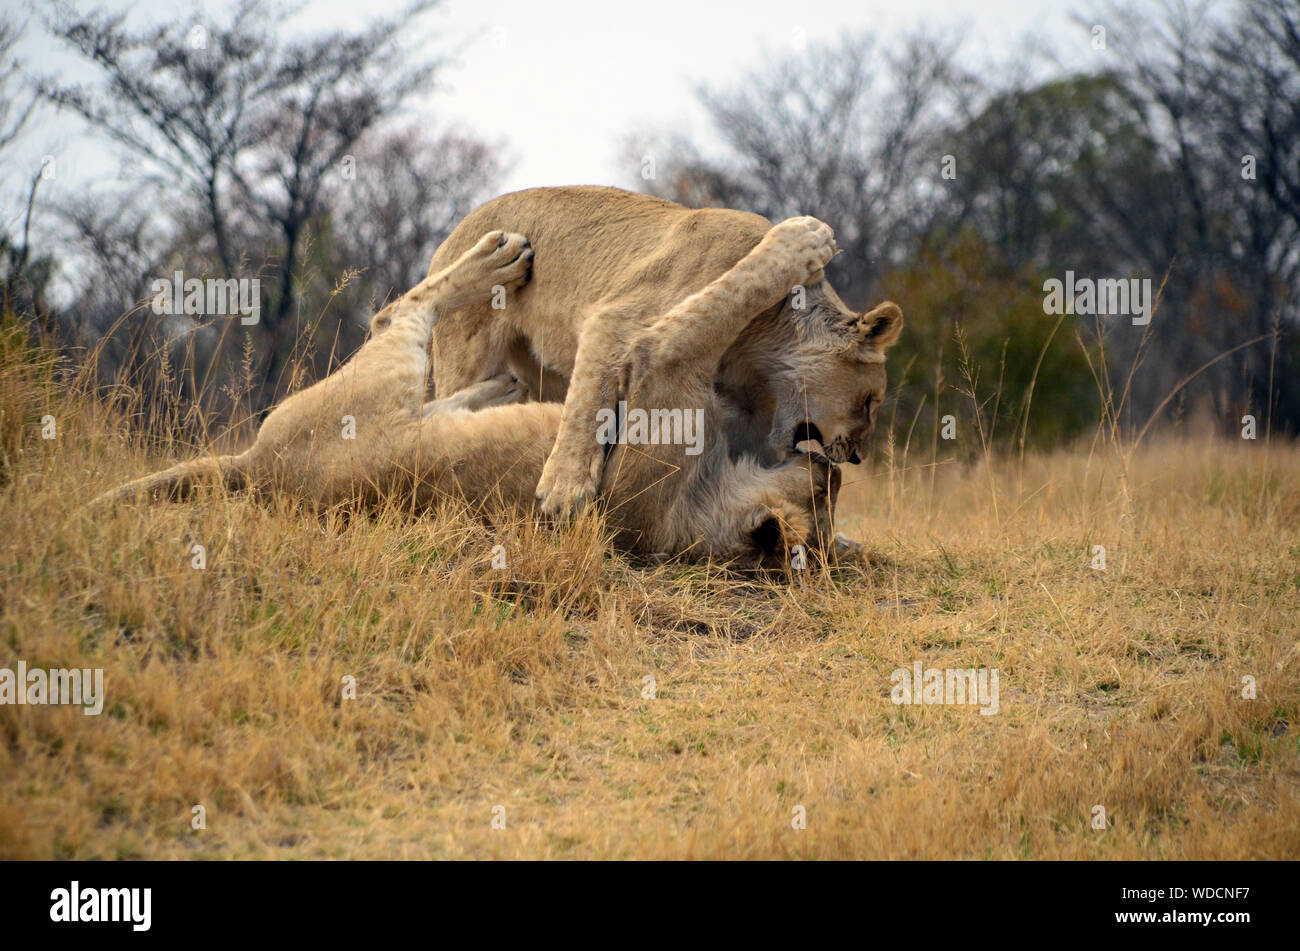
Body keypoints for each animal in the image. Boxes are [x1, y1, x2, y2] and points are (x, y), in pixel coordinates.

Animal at [95, 218, 851, 566]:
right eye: (832, 490)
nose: (839, 464)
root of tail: (251, 467)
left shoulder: (660, 360)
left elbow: (717, 302)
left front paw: (801, 241)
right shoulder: (667, 363)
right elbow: (725, 298)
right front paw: (803, 241)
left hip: (385, 379)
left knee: (397, 314)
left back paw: (498, 316)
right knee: (401, 312)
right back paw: (498, 278)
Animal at [405, 186, 903, 519]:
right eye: (870, 402)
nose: (856, 456)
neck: (760, 346)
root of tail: (450, 234)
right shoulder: (616, 321)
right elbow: (588, 407)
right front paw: (565, 490)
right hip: (466, 351)